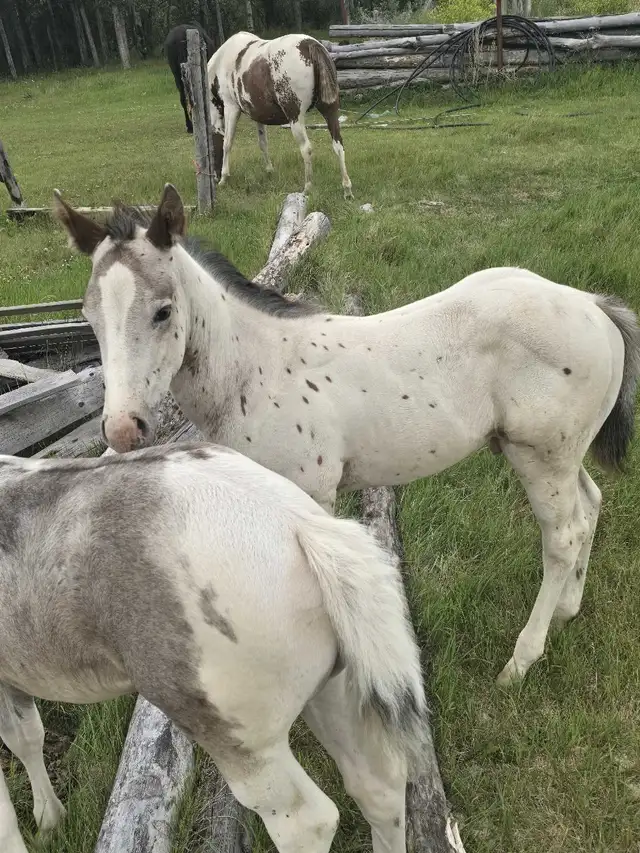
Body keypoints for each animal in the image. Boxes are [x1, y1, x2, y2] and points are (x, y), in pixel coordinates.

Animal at [0, 443, 426, 853]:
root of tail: (299, 524)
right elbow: (25, 737)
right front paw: (49, 819)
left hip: (245, 743)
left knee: (306, 824)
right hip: (332, 688)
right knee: (379, 787)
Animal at [54, 184, 640, 687]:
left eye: (163, 311)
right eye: (88, 316)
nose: (122, 429)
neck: (254, 371)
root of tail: (593, 305)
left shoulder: (314, 493)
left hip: (540, 456)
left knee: (561, 537)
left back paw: (521, 660)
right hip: (559, 456)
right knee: (589, 506)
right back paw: (567, 611)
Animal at [207, 32, 353, 198]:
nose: (214, 176)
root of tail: (309, 44)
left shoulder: (231, 108)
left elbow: (227, 143)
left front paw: (224, 178)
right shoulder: (258, 115)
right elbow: (263, 143)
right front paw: (269, 170)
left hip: (295, 117)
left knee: (306, 149)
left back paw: (307, 187)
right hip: (330, 111)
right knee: (338, 145)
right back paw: (347, 189)